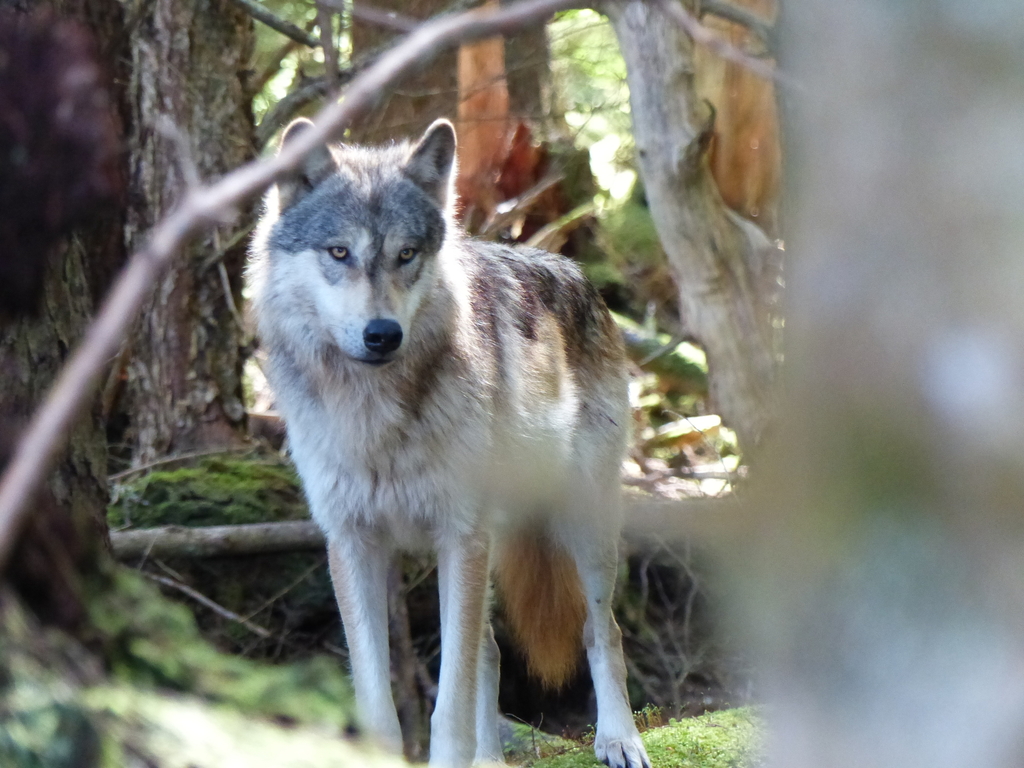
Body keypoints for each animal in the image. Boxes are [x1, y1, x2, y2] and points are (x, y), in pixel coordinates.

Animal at [248, 117, 651, 768]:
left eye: (406, 254)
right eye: (339, 252)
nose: (382, 335)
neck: (377, 418)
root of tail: (575, 271)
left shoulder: (459, 536)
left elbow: (449, 709)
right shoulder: (353, 543)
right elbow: (381, 703)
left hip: (580, 526)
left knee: (600, 631)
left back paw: (618, 739)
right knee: (490, 651)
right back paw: (491, 759)